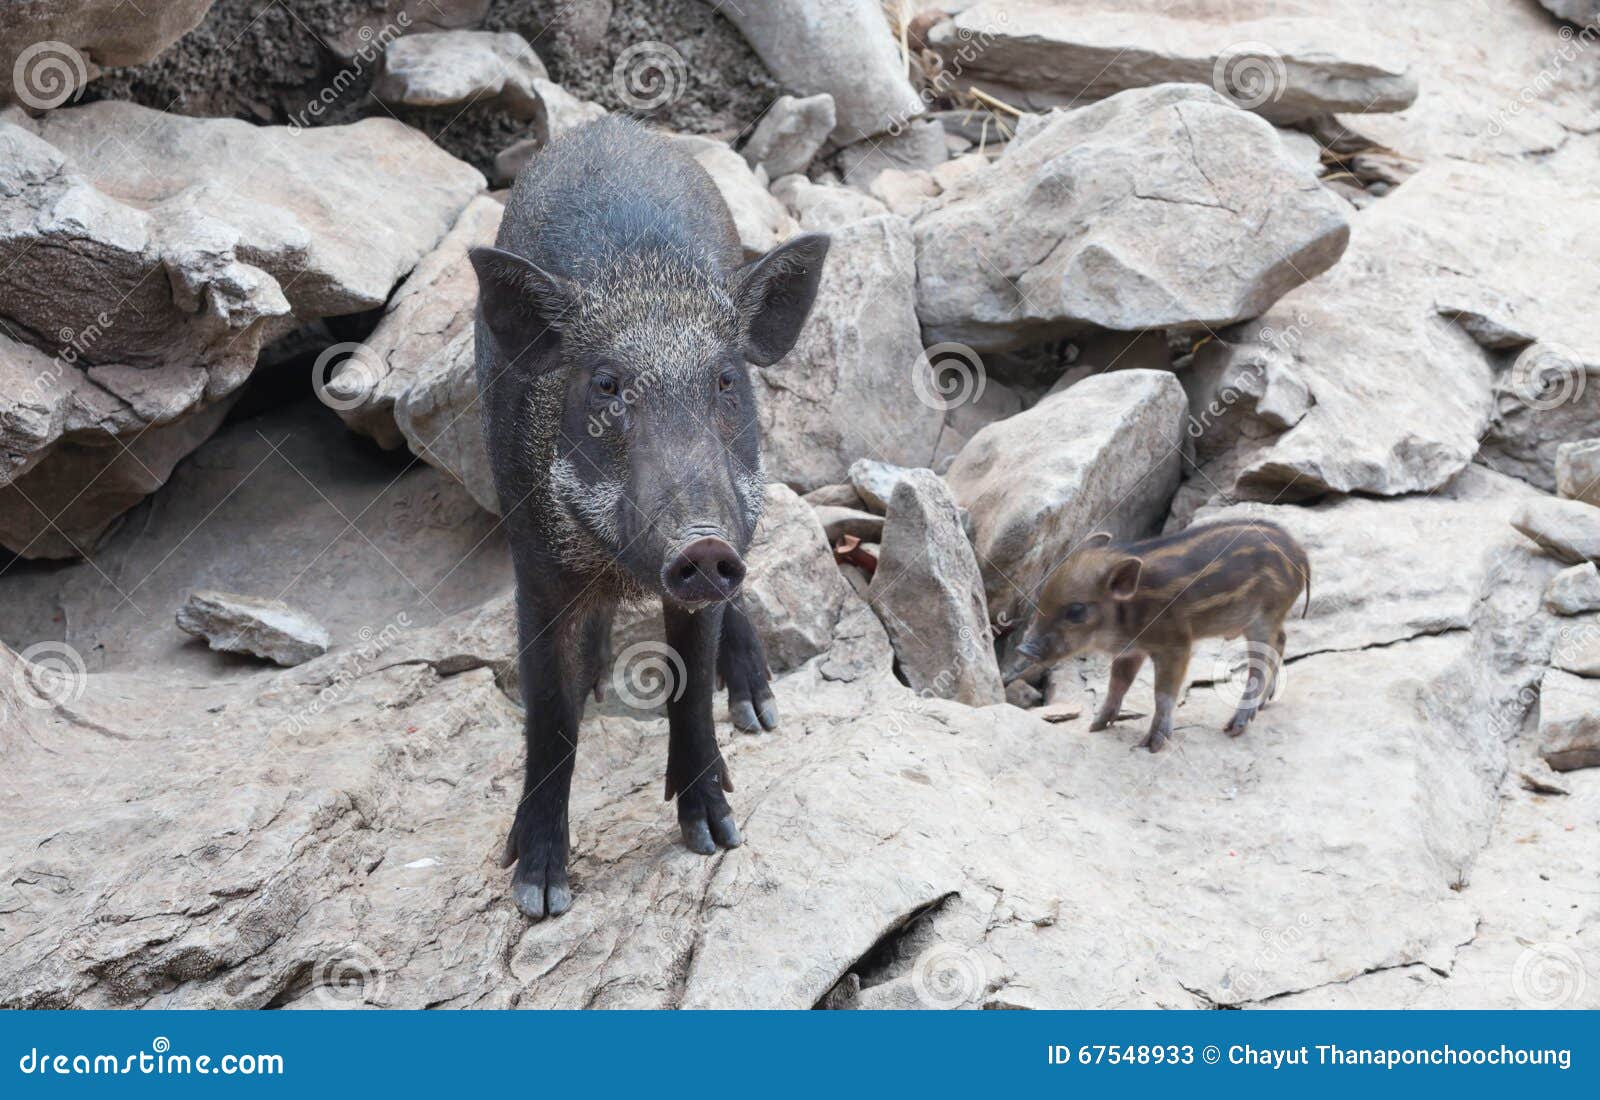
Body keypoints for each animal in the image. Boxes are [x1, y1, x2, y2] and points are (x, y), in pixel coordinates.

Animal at [469, 116, 830, 919]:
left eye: (724, 380)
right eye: (607, 384)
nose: (700, 544)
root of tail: (615, 124)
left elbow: (690, 693)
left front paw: (716, 836)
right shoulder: (534, 569)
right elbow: (551, 719)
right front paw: (539, 896)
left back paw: (758, 711)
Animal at [1001, 518, 1311, 752]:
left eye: (1076, 610)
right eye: (1042, 597)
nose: (1024, 649)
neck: (1129, 609)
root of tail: (1301, 556)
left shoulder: (1176, 644)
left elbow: (1163, 693)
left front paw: (1153, 744)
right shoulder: (1130, 650)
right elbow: (1117, 684)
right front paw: (1096, 725)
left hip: (1264, 618)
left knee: (1264, 657)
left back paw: (1236, 725)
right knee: (1282, 641)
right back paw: (1264, 703)